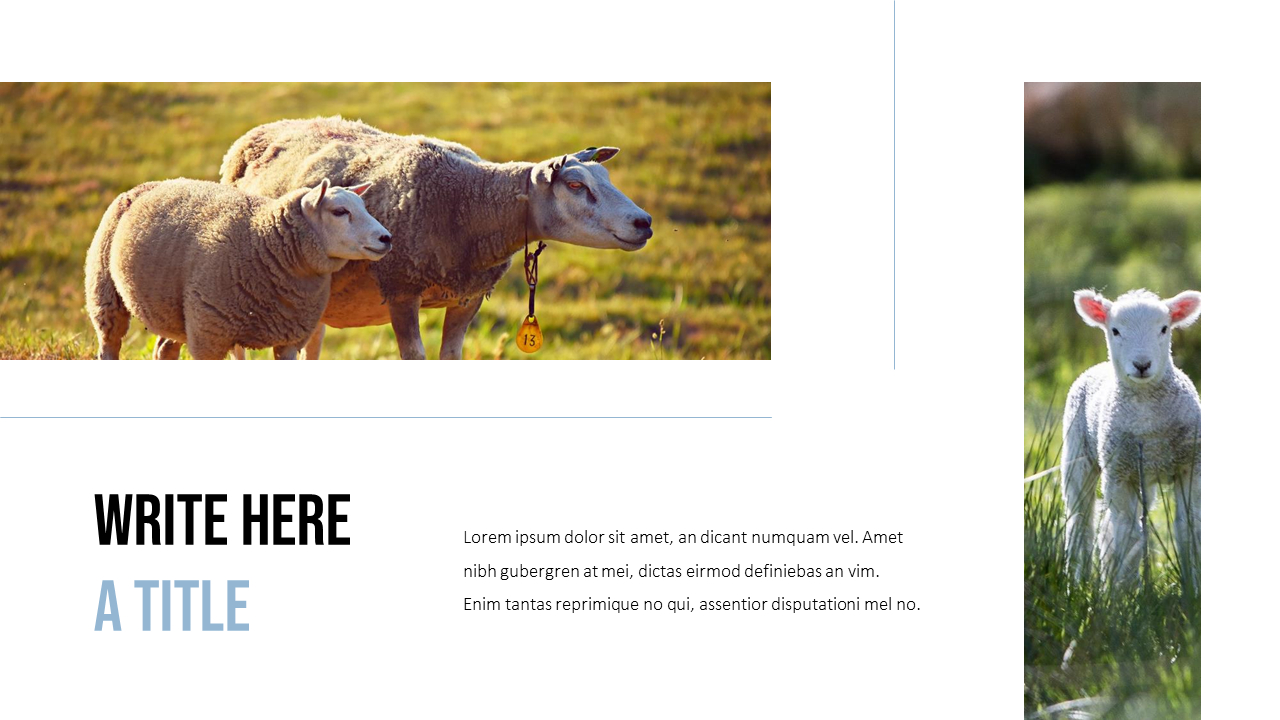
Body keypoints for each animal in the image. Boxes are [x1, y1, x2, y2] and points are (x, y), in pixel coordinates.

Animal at [85, 177, 391, 360]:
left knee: (163, 350)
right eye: (340, 211)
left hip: (173, 313)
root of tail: (149, 185)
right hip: (105, 293)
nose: (386, 238)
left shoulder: (289, 340)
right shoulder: (209, 336)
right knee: (109, 345)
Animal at [217, 116, 654, 360]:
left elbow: (451, 356)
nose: (644, 222)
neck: (469, 202)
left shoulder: (467, 297)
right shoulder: (400, 288)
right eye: (577, 185)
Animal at [1062, 288, 1202, 591]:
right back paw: (1078, 583)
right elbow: (1128, 534)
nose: (1142, 365)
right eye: (1115, 330)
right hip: (1079, 454)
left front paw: (1194, 588)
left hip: (1142, 475)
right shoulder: (1119, 473)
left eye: (1164, 329)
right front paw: (1124, 595)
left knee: (1109, 526)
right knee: (1081, 521)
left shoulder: (1190, 466)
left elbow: (1189, 527)